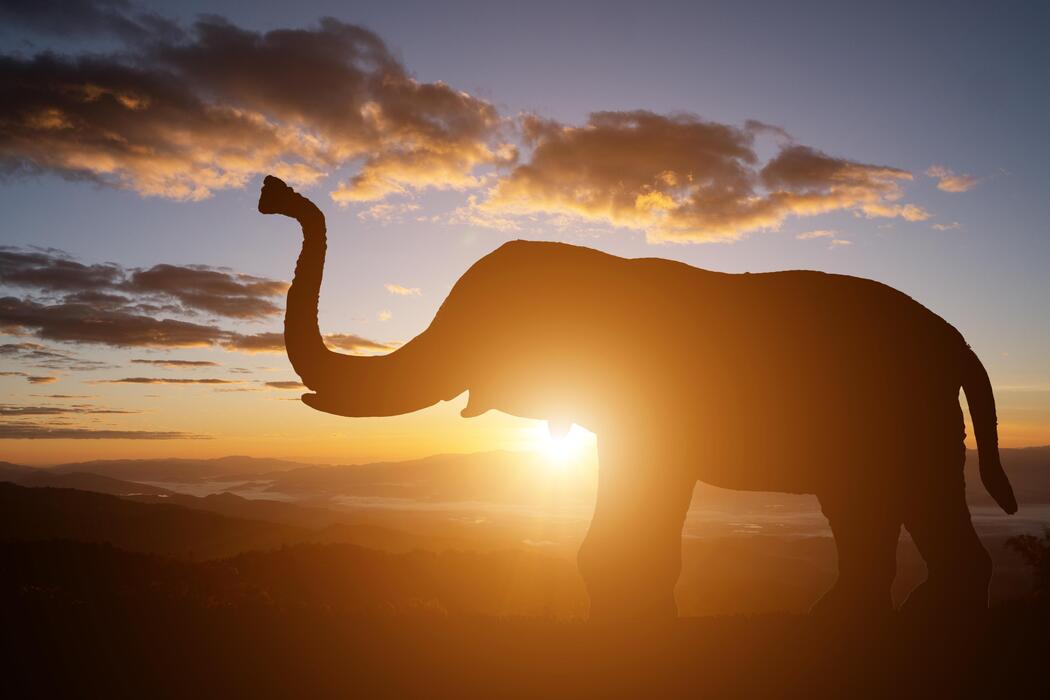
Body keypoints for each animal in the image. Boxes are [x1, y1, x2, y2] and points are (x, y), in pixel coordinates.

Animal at [257, 174, 1016, 624]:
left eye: (477, 326)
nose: (273, 193)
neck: (600, 269)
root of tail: (957, 339)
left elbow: (649, 491)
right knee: (867, 513)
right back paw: (842, 623)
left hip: (913, 412)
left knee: (917, 503)